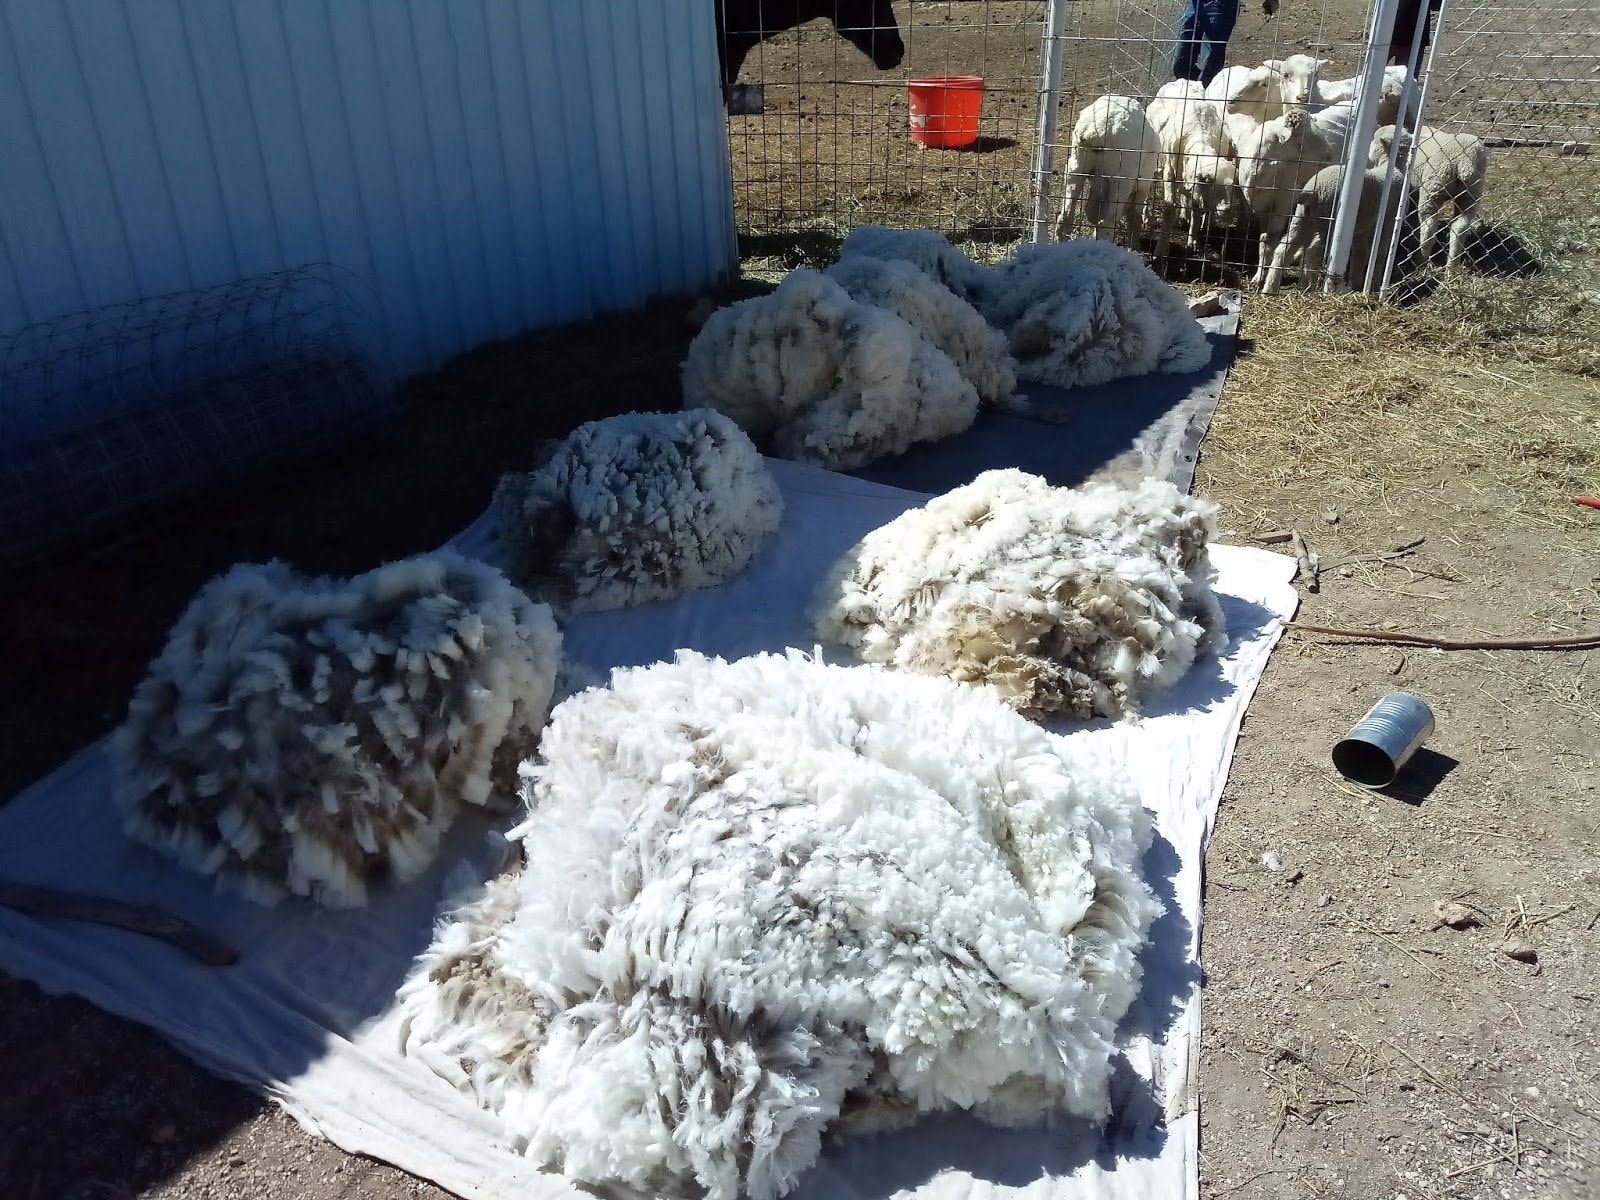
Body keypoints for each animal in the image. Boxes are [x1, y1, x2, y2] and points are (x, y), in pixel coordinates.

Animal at [1055, 95, 1163, 248]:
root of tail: (1096, 130)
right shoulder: (1142, 187)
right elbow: (1134, 217)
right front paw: (1134, 247)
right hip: (1121, 179)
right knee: (1105, 224)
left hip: (1076, 166)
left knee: (1065, 216)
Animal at [1259, 164, 1404, 294]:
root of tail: (1312, 193)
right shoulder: (1388, 222)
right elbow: (1380, 254)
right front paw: (1373, 286)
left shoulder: (1360, 230)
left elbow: (1360, 254)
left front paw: (1356, 283)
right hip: (1327, 224)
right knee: (1312, 253)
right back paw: (1310, 285)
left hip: (1302, 219)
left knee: (1283, 250)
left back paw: (1271, 288)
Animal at [1369, 123, 1488, 274]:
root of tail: (1465, 160)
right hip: (1471, 193)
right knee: (1460, 227)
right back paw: (1452, 267)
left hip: (1432, 188)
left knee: (1429, 226)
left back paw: (1420, 260)